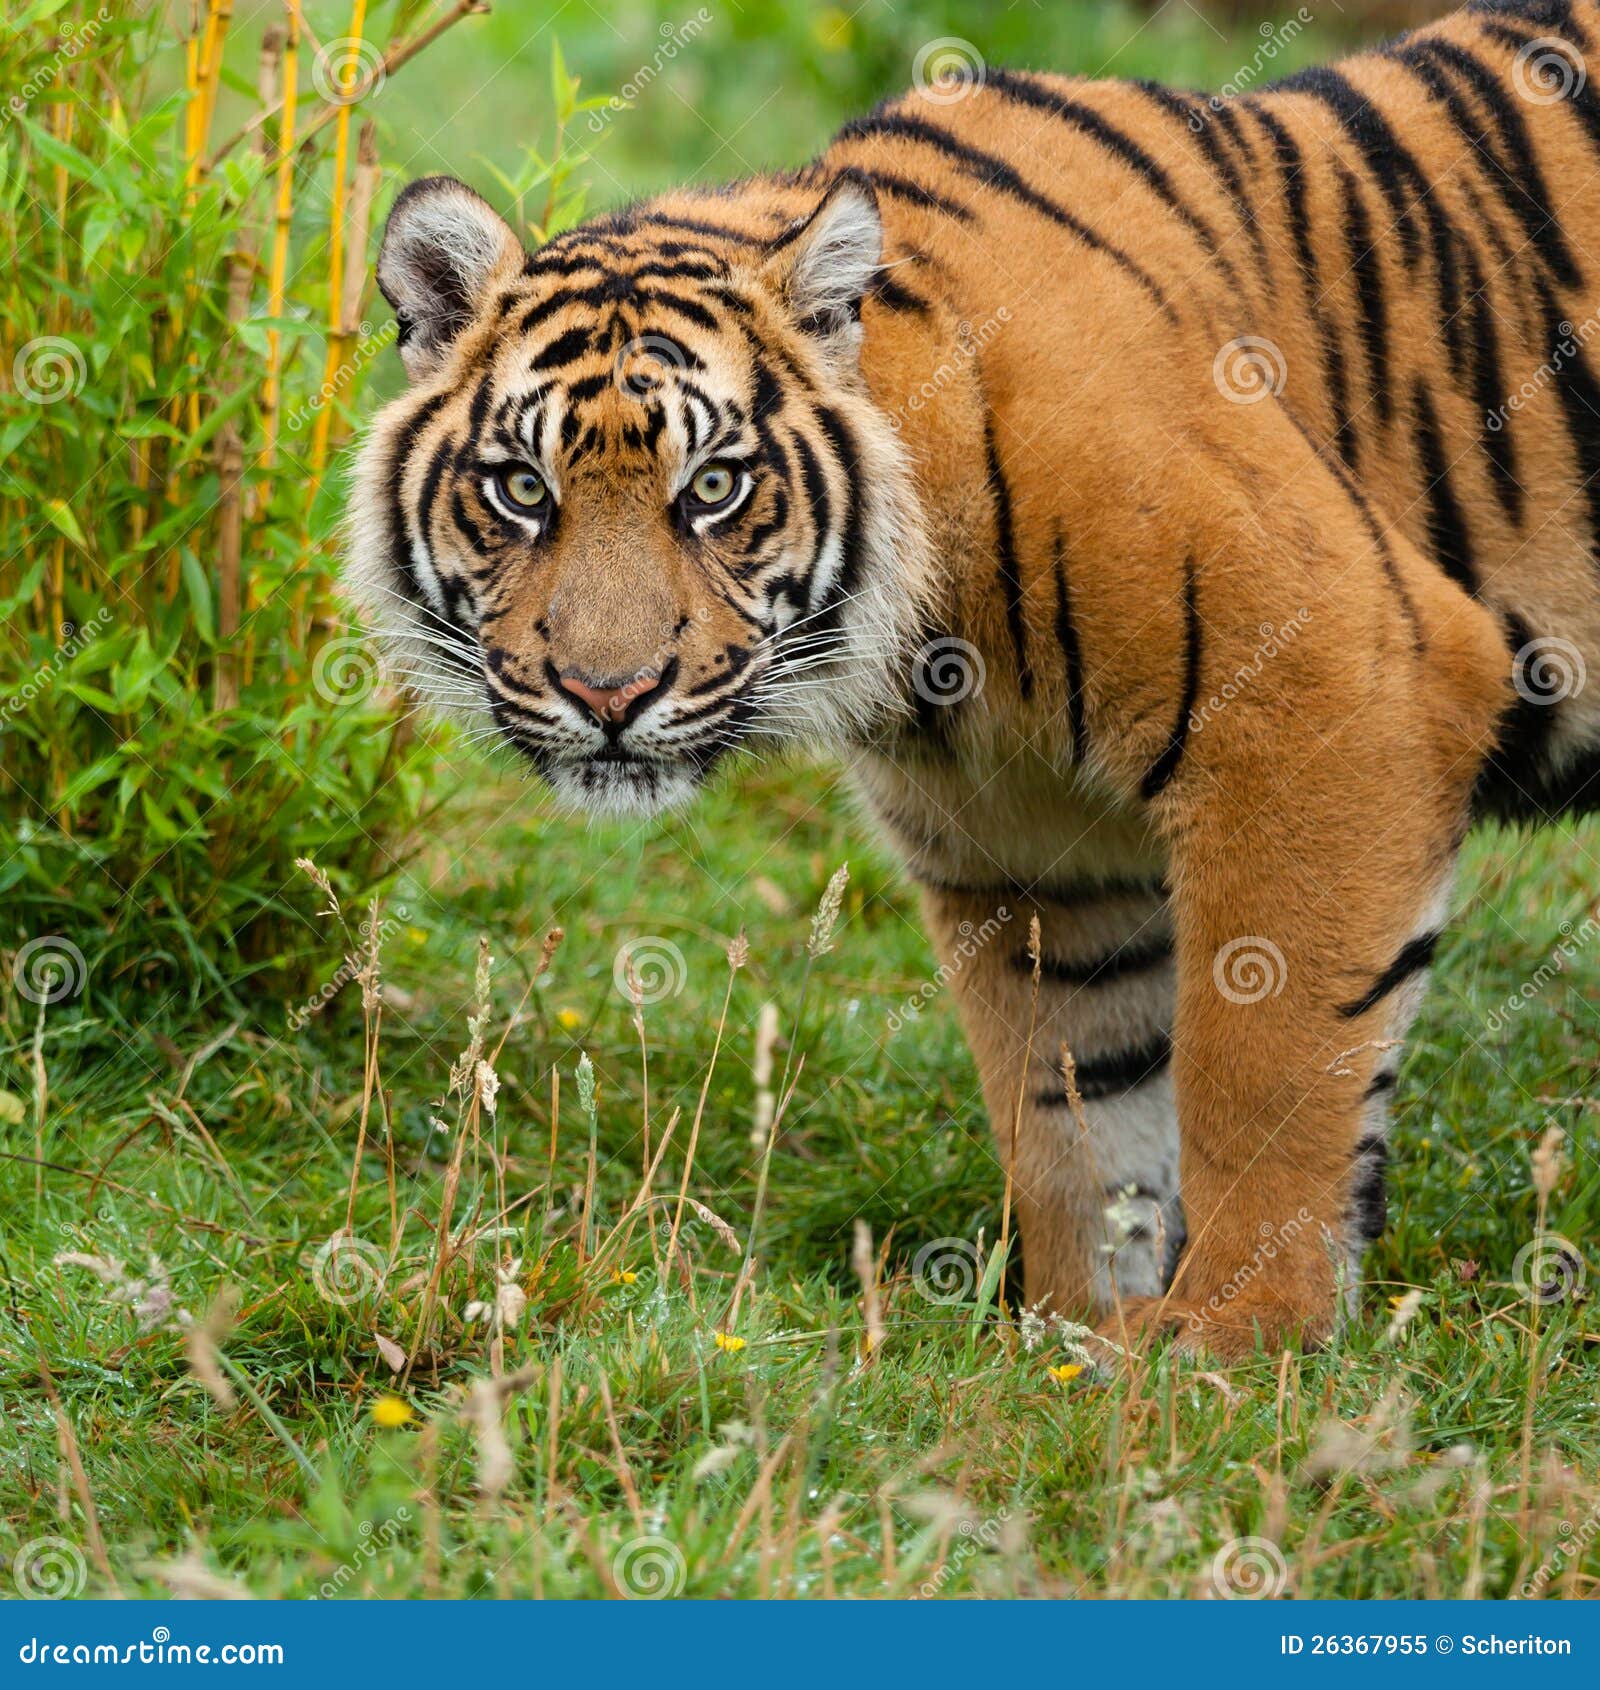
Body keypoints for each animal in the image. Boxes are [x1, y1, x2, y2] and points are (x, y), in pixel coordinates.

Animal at [349, 0, 1600, 1362]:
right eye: (523, 489)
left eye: (716, 486)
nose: (608, 693)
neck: (933, 652)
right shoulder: (1032, 852)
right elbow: (1073, 1111)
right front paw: (1073, 1337)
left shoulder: (1335, 679)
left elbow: (1260, 1063)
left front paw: (1228, 1340)